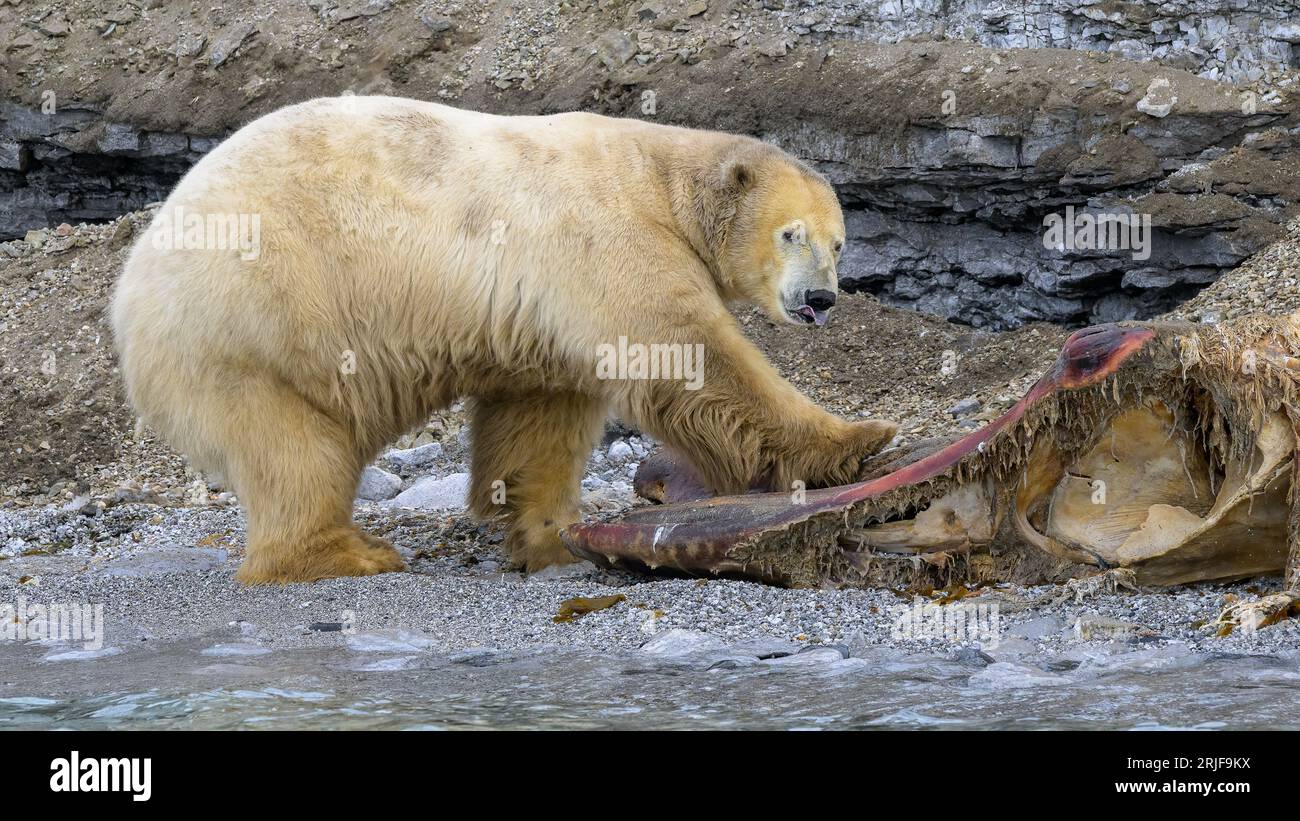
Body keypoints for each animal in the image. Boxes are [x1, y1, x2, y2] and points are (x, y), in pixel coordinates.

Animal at [110, 96, 898, 584]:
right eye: (791, 234)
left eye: (839, 243)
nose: (820, 298)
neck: (658, 179)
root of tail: (129, 290)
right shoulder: (609, 239)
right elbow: (687, 353)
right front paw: (858, 439)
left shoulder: (545, 312)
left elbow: (540, 419)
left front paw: (549, 537)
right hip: (255, 321)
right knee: (294, 451)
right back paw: (349, 553)